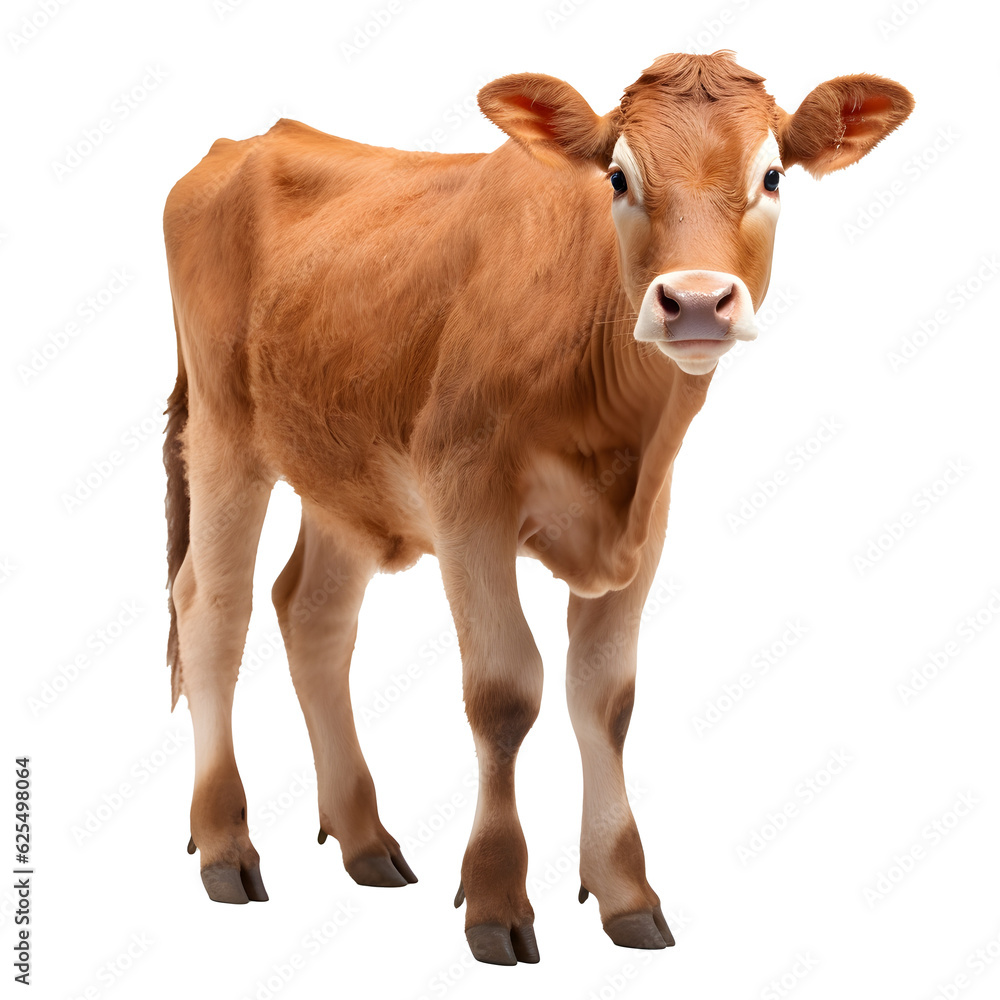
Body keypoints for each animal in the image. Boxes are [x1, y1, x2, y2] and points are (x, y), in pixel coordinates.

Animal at [162, 50, 913, 965]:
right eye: (619, 177)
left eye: (771, 175)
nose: (697, 300)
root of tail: (245, 143)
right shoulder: (463, 494)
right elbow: (504, 693)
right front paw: (494, 897)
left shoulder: (647, 524)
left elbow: (606, 698)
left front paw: (625, 892)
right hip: (225, 433)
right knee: (213, 610)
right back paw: (225, 846)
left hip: (343, 459)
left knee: (313, 616)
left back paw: (365, 839)